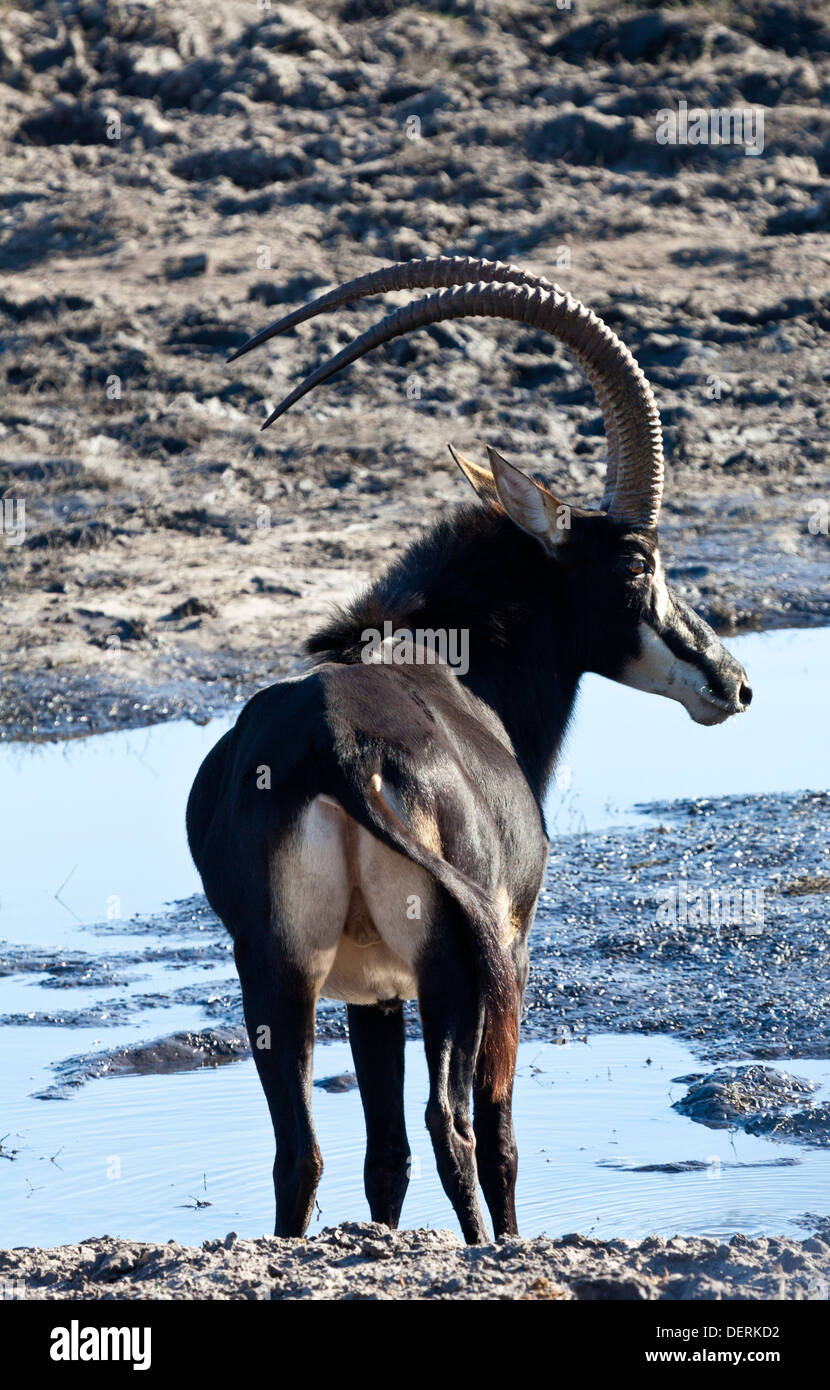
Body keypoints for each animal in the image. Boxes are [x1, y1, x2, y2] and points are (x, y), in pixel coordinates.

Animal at [186, 256, 752, 1244]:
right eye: (640, 562)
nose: (731, 681)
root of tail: (336, 746)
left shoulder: (372, 992)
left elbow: (382, 1161)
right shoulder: (511, 948)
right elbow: (496, 1133)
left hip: (277, 974)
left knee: (304, 1152)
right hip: (457, 964)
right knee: (453, 1124)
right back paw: (487, 1247)